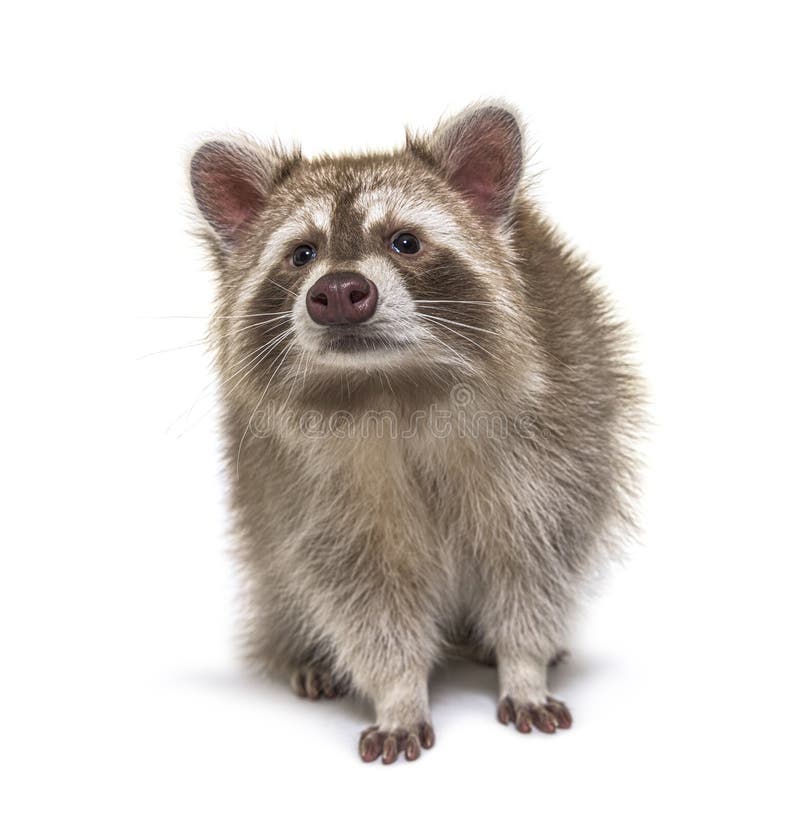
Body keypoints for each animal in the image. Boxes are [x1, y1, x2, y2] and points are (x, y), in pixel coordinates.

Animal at [189, 103, 641, 764]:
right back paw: (305, 651)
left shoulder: (556, 438)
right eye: (301, 254)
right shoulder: (309, 484)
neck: (389, 383)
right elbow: (363, 594)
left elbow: (533, 565)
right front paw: (398, 693)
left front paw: (524, 665)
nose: (339, 292)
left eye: (405, 242)